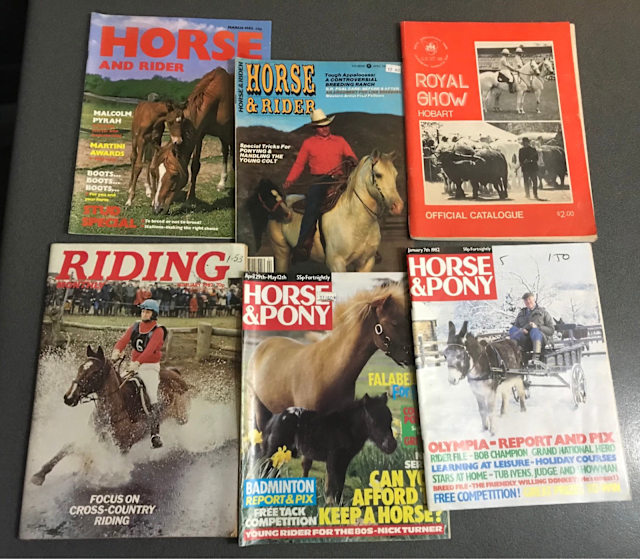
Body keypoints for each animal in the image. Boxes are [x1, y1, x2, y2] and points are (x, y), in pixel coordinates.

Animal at [30, 346, 189, 485]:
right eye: (80, 368)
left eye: (94, 373)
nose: (69, 397)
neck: (115, 409)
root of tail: (176, 373)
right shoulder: (93, 434)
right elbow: (67, 448)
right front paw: (39, 474)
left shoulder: (123, 447)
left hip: (181, 417)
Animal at [251, 151, 404, 272]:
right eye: (378, 174)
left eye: (396, 174)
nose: (398, 206)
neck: (356, 221)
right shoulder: (337, 264)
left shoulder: (366, 263)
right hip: (280, 251)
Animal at [260, 394, 397, 504]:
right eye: (373, 421)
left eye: (390, 418)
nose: (391, 445)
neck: (345, 427)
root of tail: (275, 418)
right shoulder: (333, 458)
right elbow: (331, 485)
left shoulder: (344, 461)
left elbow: (340, 483)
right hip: (274, 450)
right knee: (266, 468)